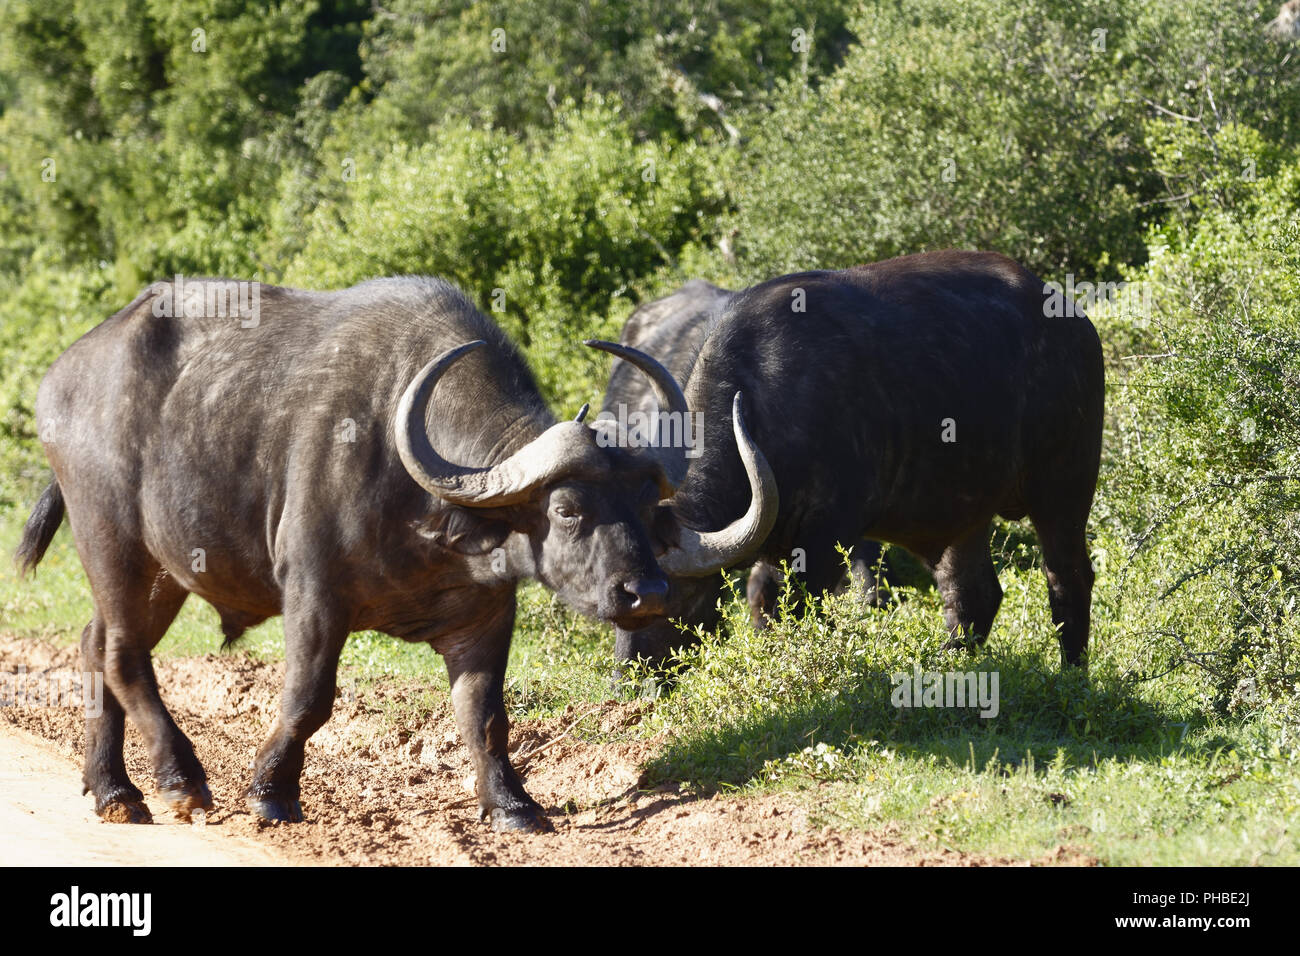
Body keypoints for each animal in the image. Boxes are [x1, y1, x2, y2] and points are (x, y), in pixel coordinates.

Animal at [15, 276, 775, 830]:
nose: (646, 593)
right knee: (123, 655)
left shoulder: (484, 616)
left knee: (96, 645)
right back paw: (178, 780)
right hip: (111, 538)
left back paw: (113, 789)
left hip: (167, 570)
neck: (430, 509)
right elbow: (308, 698)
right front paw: (272, 792)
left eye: (650, 510)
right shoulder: (314, 595)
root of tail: (63, 376)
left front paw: (513, 805)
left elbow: (485, 716)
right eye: (567, 508)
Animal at [601, 251, 1104, 672]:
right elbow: (767, 604)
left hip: (1064, 488)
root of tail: (1074, 322)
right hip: (964, 513)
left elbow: (806, 612)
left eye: (676, 599)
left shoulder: (828, 539)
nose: (629, 675)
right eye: (619, 599)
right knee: (973, 595)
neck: (763, 404)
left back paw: (1070, 676)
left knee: (1067, 577)